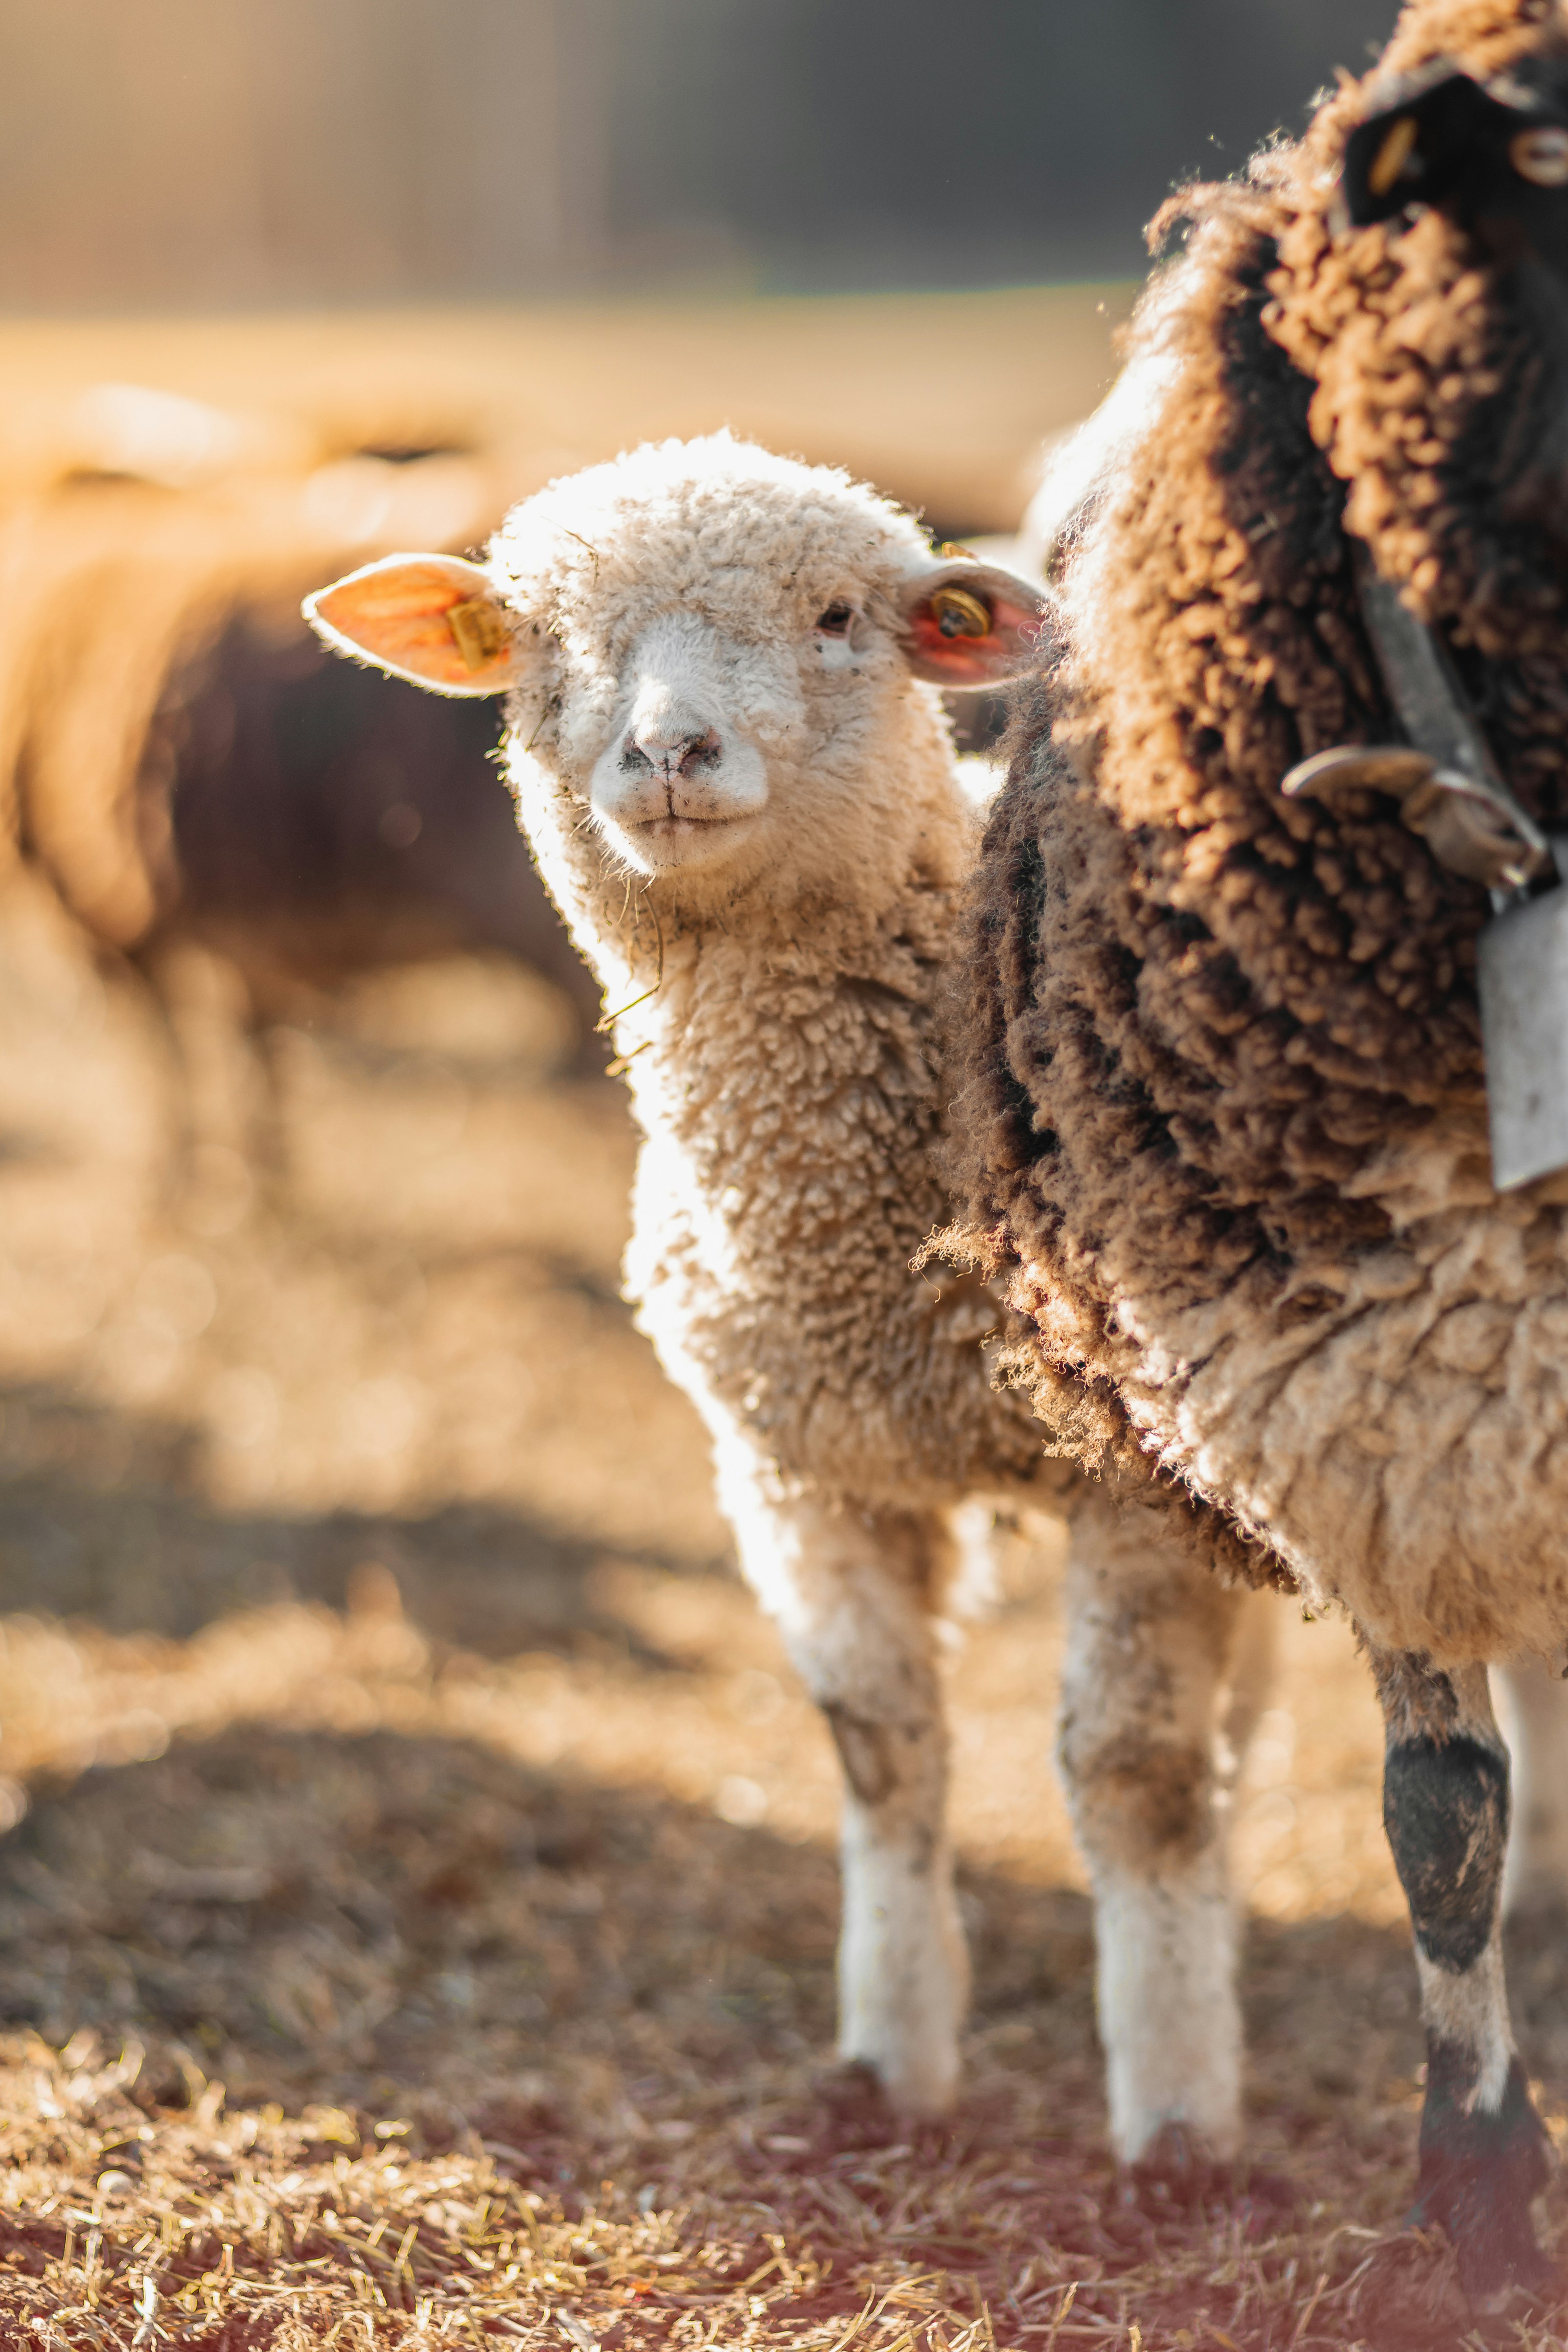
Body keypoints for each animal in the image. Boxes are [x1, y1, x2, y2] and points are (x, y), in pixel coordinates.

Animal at [303, 431, 1281, 2142]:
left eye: (837, 617)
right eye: (537, 638)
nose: (668, 751)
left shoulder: (1143, 1484)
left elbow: (1137, 1774)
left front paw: (1172, 2118)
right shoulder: (796, 1466)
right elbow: (879, 1750)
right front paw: (891, 2053)